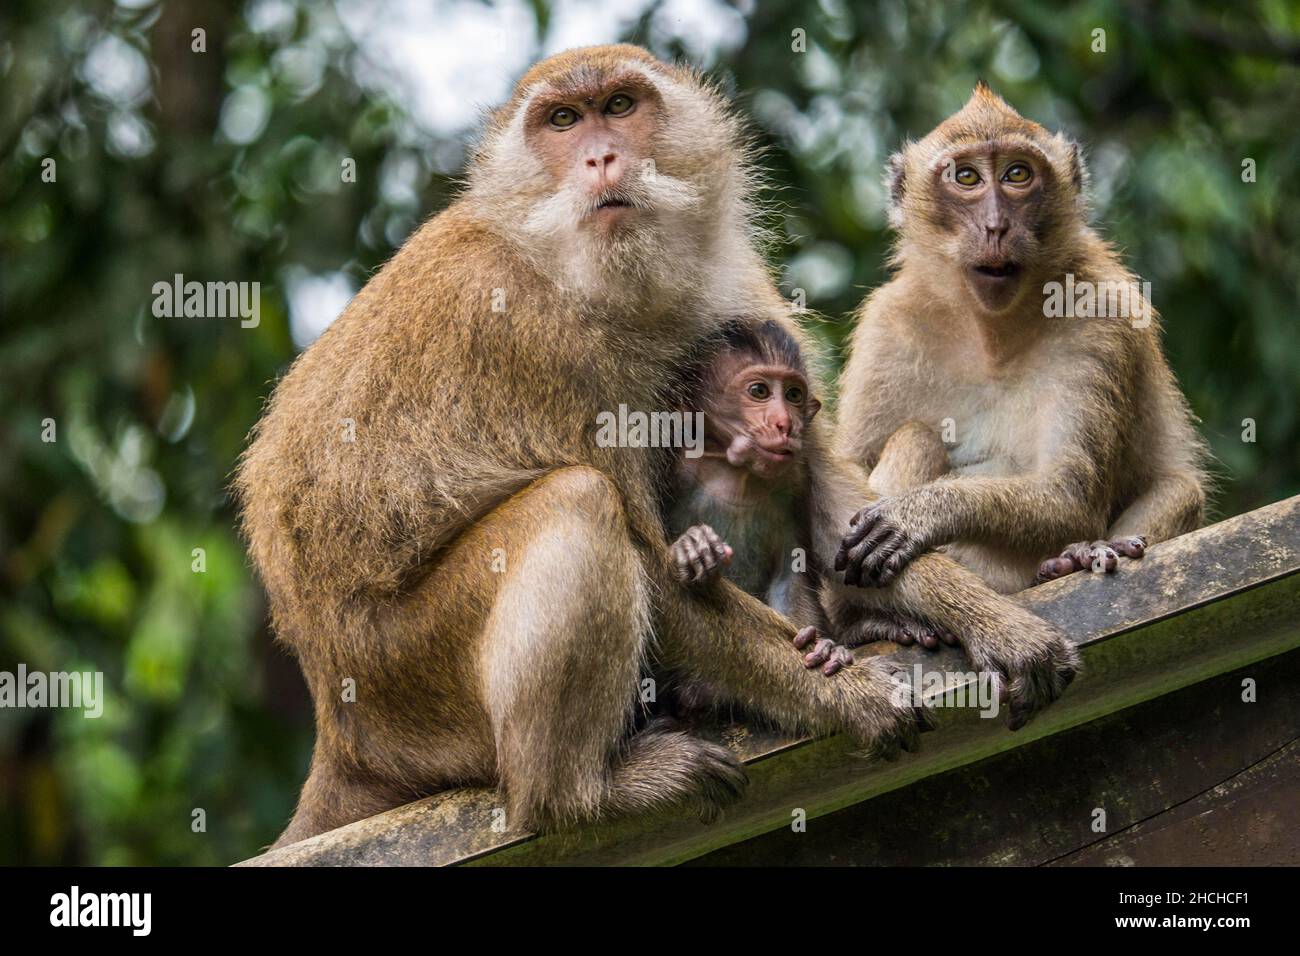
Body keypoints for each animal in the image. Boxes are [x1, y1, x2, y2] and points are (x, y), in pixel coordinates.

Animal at [236, 48, 1078, 846]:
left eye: (618, 105)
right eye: (563, 121)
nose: (602, 158)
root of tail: (342, 728)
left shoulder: (732, 280)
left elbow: (841, 511)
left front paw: (994, 625)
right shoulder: (540, 343)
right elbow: (659, 572)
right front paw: (849, 694)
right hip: (413, 682)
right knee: (577, 500)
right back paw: (577, 795)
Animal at [834, 83, 1209, 603]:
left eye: (1017, 174)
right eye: (966, 177)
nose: (996, 226)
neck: (993, 333)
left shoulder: (1101, 317)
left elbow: (1068, 495)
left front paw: (919, 513)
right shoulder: (889, 327)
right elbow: (843, 469)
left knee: (1181, 489)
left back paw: (1073, 559)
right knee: (915, 435)